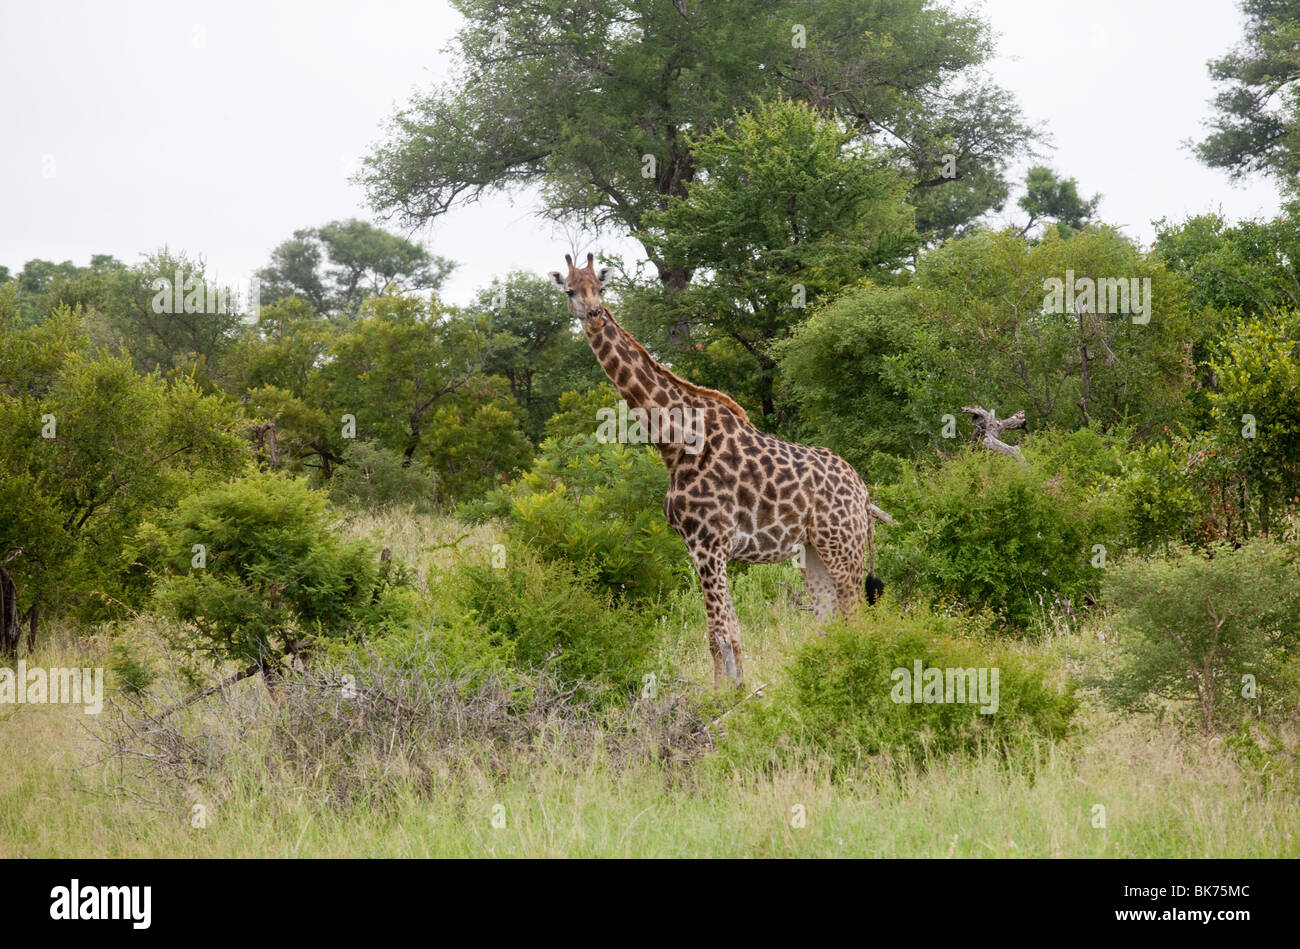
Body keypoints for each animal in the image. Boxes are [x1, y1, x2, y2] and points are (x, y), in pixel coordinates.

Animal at [550, 253, 881, 686]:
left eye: (601, 288)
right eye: (570, 291)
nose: (593, 316)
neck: (674, 441)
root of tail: (863, 490)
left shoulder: (709, 543)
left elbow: (721, 634)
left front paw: (730, 695)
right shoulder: (698, 547)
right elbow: (723, 633)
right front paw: (733, 690)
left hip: (843, 544)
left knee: (856, 614)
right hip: (813, 549)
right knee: (828, 620)